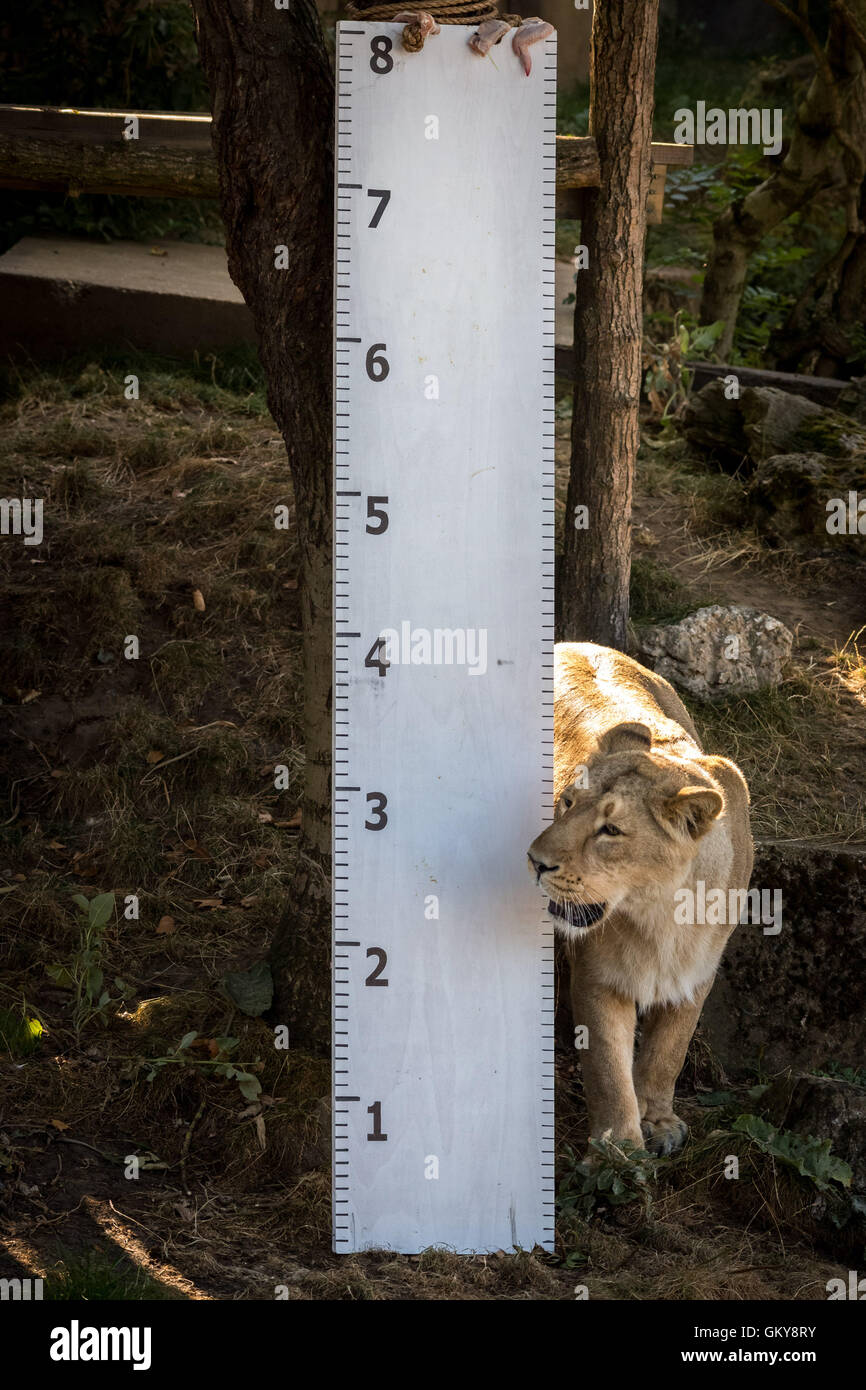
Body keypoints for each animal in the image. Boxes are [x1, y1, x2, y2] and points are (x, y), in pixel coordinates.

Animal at [527, 643, 753, 1156]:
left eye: (611, 830)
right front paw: (619, 1151)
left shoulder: (696, 975)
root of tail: (572, 643)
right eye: (567, 804)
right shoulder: (598, 977)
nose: (535, 861)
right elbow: (608, 1069)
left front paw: (658, 1122)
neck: (660, 914)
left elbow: (668, 1052)